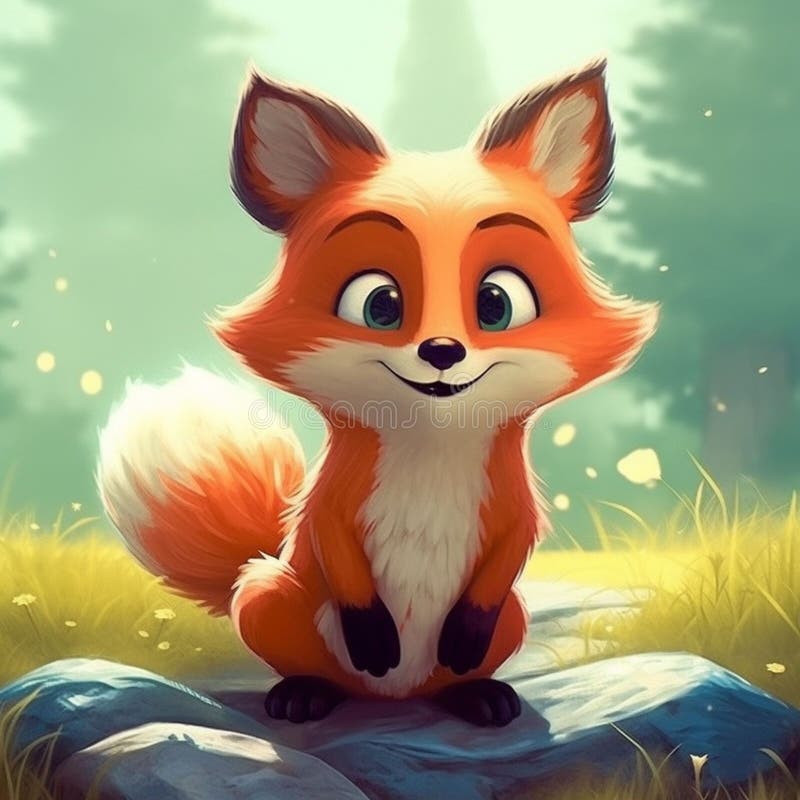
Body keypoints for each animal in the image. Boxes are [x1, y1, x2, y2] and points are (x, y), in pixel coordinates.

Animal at [98, 58, 657, 728]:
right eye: (380, 303)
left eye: (496, 303)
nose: (442, 352)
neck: (431, 451)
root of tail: (392, 700)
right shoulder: (330, 504)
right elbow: (332, 545)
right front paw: (372, 637)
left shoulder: (513, 510)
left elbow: (511, 549)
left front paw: (464, 639)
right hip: (267, 596)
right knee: (316, 664)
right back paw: (306, 692)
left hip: (514, 618)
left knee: (458, 668)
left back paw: (476, 693)